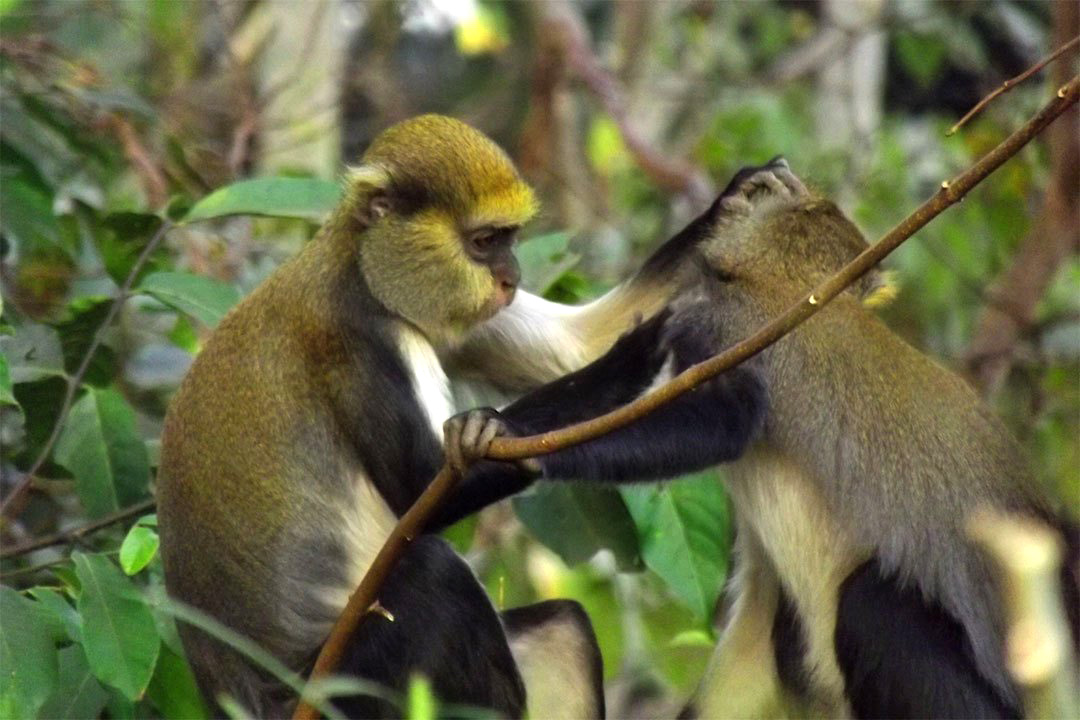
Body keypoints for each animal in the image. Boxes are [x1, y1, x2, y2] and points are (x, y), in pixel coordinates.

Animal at [156, 114, 757, 719]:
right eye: (484, 242)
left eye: (509, 240)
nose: (511, 278)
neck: (360, 264)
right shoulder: (364, 339)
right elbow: (424, 486)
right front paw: (634, 350)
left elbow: (575, 345)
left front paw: (740, 199)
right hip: (343, 684)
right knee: (429, 569)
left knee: (562, 628)